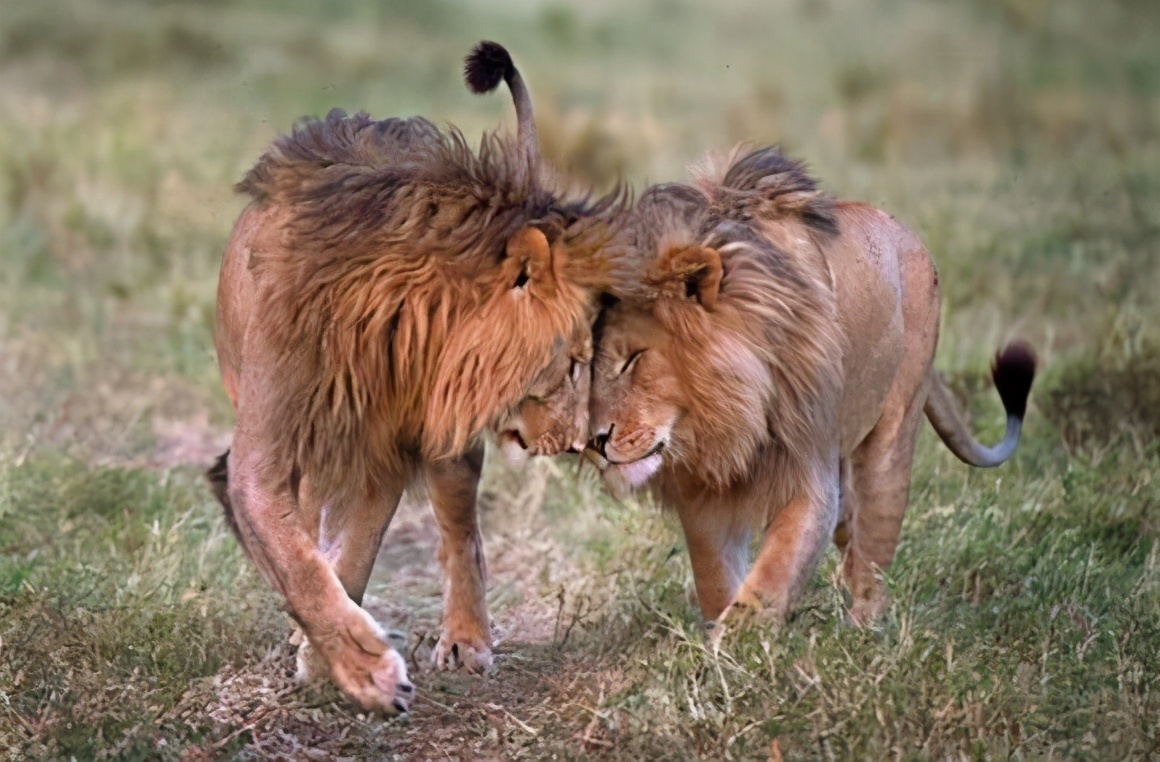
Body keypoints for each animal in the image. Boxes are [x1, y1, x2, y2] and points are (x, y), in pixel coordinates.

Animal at [208, 42, 623, 714]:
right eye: (574, 361)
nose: (591, 439)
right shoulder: (261, 461)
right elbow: (299, 566)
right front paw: (359, 665)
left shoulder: (384, 448)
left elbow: (350, 560)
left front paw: (339, 665)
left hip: (445, 442)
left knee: (461, 535)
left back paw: (466, 641)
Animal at [587, 146, 1035, 630]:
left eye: (633, 359)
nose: (594, 441)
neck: (722, 420)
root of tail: (908, 235)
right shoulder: (703, 490)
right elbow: (716, 575)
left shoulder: (806, 469)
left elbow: (773, 574)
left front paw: (737, 640)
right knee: (850, 523)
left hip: (892, 432)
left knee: (875, 543)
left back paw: (861, 628)